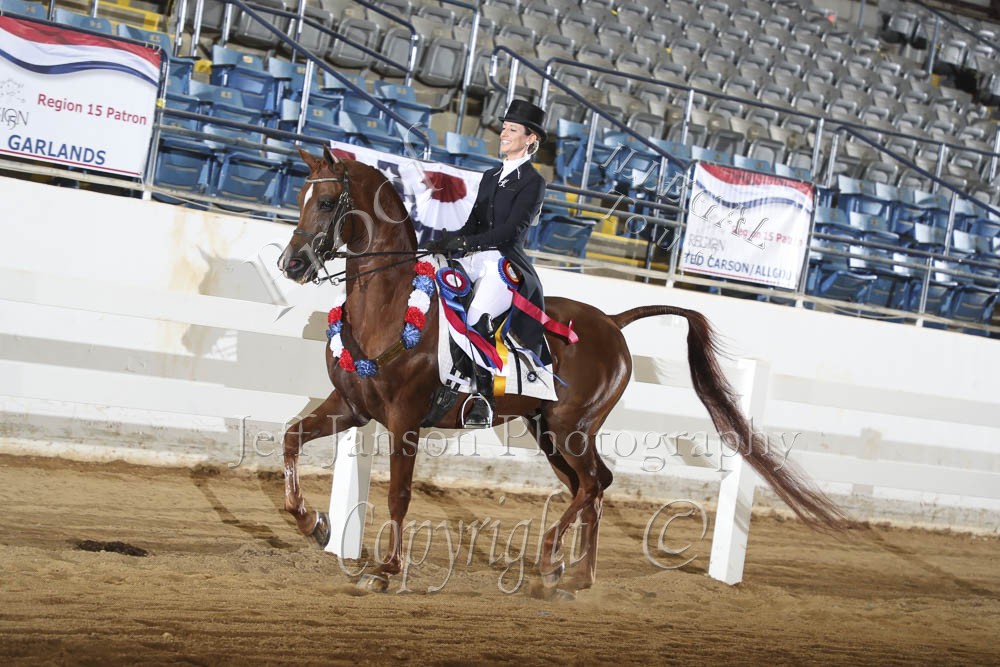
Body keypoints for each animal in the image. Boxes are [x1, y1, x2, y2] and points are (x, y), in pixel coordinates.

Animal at [278, 146, 844, 593]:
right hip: (549, 430)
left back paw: (551, 558)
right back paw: (577, 575)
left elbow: (398, 494)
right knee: (592, 485)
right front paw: (313, 523)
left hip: (571, 427)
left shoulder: (404, 421)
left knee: (592, 485)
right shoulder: (352, 407)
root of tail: (612, 323)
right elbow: (290, 439)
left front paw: (387, 570)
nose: (293, 264)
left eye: (326, 202)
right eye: (300, 194)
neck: (391, 306)